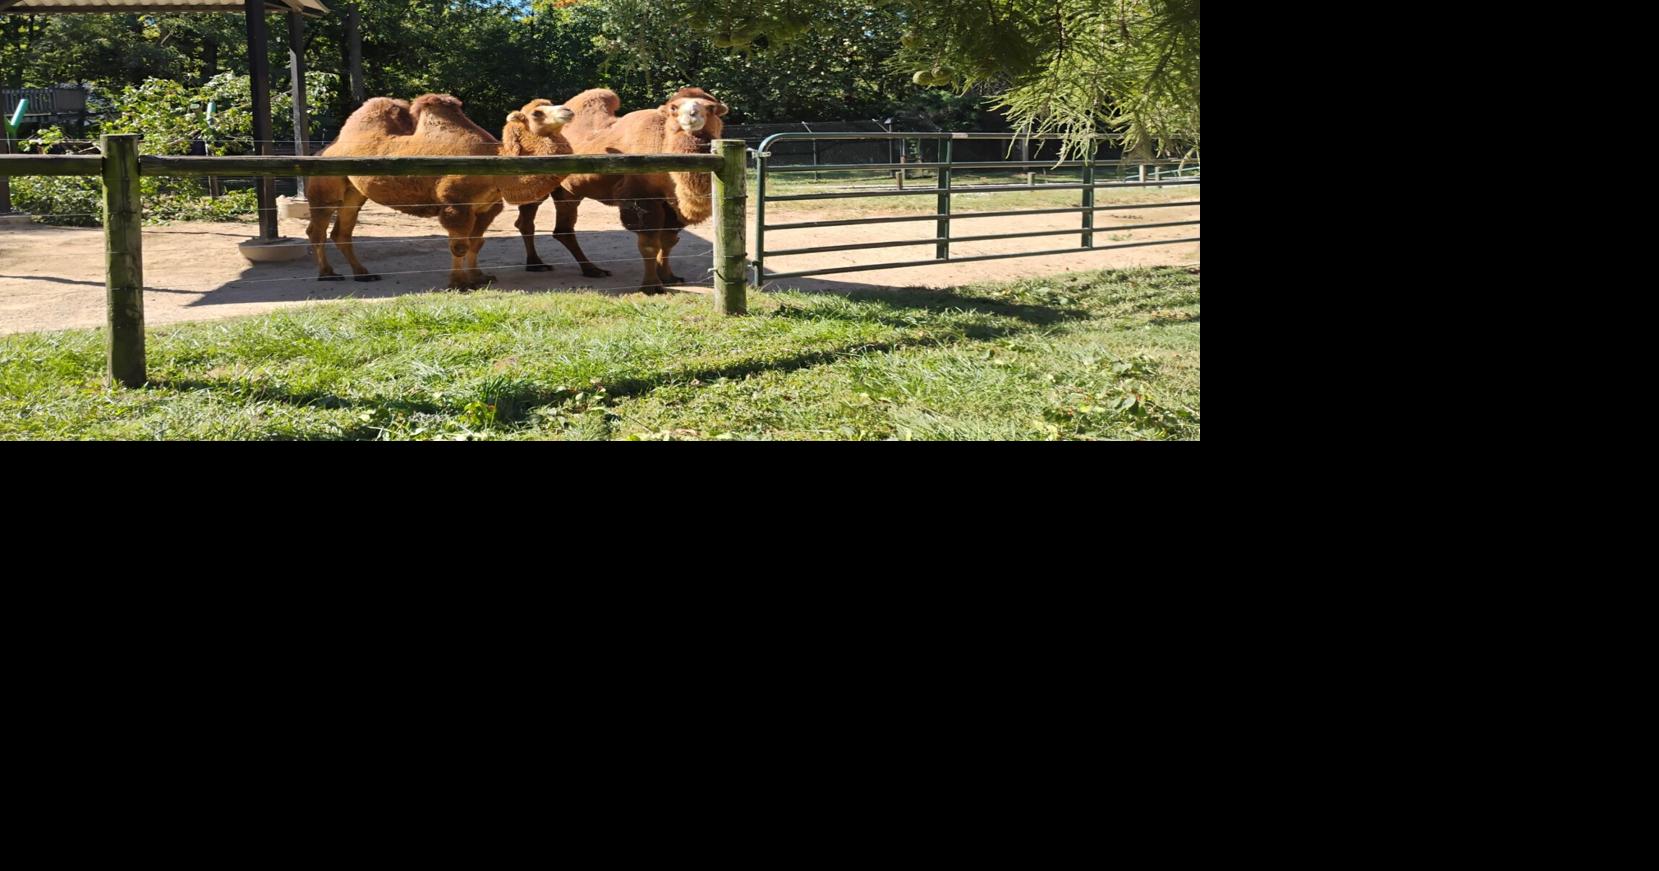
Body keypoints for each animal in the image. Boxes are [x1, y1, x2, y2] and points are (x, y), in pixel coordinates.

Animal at [304, 94, 505, 290]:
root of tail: (324, 150)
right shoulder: (456, 204)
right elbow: (459, 246)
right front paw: (459, 283)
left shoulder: (487, 207)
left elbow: (476, 242)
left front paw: (479, 277)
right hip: (325, 190)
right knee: (318, 230)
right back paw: (327, 274)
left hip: (353, 194)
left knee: (341, 230)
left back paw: (363, 274)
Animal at [554, 87, 729, 293]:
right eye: (674, 108)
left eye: (711, 108)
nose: (692, 115)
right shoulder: (640, 196)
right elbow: (649, 244)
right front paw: (652, 286)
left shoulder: (671, 203)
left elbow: (668, 240)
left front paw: (668, 276)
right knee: (559, 228)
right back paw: (590, 269)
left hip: (570, 192)